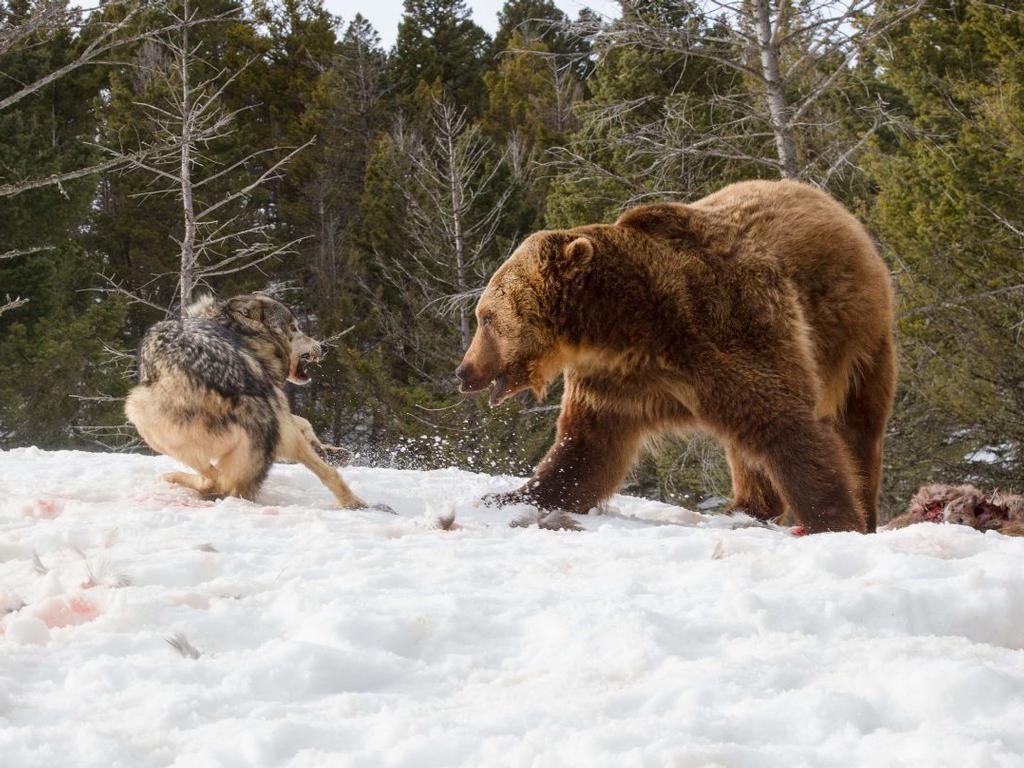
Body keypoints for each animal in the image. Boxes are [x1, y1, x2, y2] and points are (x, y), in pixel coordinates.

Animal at [125, 293, 366, 508]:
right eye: (294, 328)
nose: (324, 347)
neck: (244, 333)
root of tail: (243, 395)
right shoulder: (280, 410)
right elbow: (304, 422)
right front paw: (325, 448)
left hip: (138, 412)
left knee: (216, 481)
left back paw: (173, 477)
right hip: (280, 434)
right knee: (327, 472)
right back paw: (352, 500)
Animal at [455, 179, 896, 533]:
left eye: (486, 317)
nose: (463, 371)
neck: (627, 324)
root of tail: (830, 204)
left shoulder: (727, 324)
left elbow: (788, 423)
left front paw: (835, 521)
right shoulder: (614, 380)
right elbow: (585, 451)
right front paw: (507, 496)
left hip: (857, 334)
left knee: (857, 427)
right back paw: (745, 508)